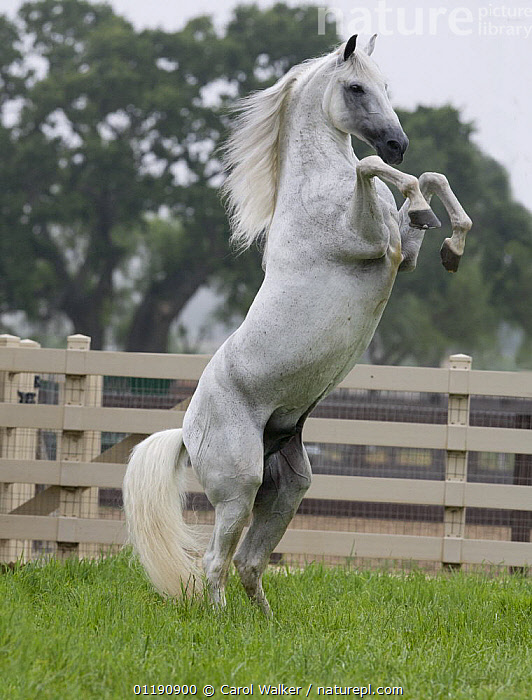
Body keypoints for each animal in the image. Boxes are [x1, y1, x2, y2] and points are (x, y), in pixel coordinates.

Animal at [123, 35, 472, 616]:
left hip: (287, 489)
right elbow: (370, 167)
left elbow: (429, 180)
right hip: (238, 489)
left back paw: (265, 625)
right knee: (215, 562)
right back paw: (221, 625)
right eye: (355, 88)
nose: (399, 142)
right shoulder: (368, 243)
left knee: (249, 563)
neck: (318, 183)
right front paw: (425, 208)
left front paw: (452, 241)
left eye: (384, 85)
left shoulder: (398, 257)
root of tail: (187, 433)